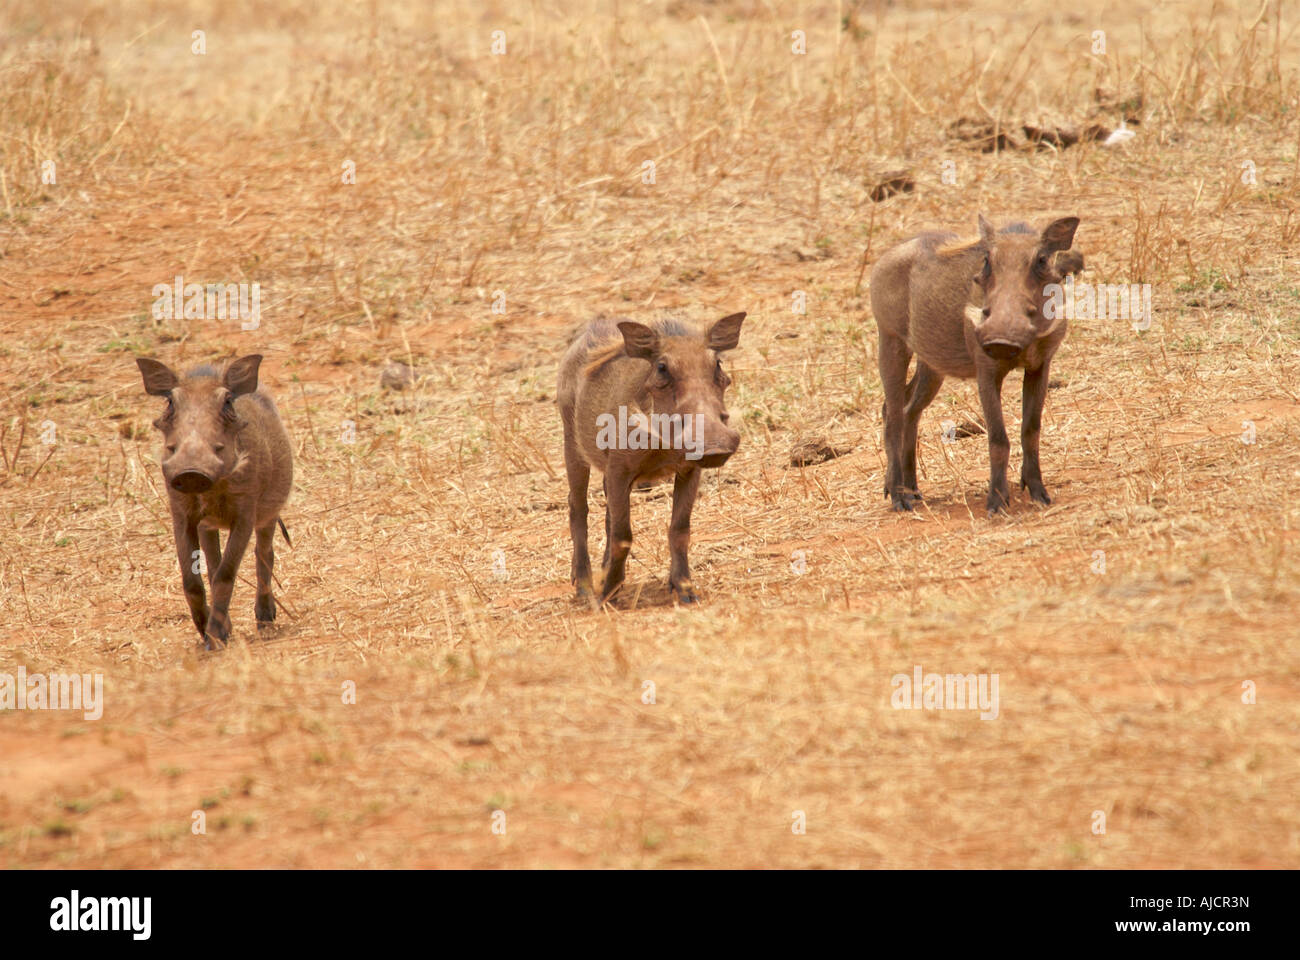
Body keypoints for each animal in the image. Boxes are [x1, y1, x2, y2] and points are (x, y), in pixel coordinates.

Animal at [135, 354, 293, 649]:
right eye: (170, 401)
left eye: (228, 401)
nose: (191, 472)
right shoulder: (182, 515)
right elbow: (192, 581)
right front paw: (207, 632)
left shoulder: (246, 515)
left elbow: (225, 575)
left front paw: (215, 636)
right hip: (207, 526)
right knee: (211, 563)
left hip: (267, 514)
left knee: (264, 553)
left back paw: (265, 619)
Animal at [557, 312, 746, 605]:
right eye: (662, 368)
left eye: (717, 364)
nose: (715, 447)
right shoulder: (619, 469)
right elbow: (622, 536)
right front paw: (606, 596)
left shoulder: (689, 471)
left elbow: (679, 530)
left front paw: (686, 591)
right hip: (573, 446)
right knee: (577, 507)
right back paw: (585, 589)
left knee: (608, 512)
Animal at [870, 215, 1081, 515]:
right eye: (987, 260)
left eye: (1041, 260)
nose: (1001, 339)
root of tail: (885, 256)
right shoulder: (986, 371)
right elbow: (998, 438)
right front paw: (996, 503)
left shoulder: (1040, 367)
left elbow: (1031, 430)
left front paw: (1039, 494)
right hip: (890, 341)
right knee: (894, 416)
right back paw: (899, 498)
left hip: (932, 364)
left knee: (907, 410)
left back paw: (913, 490)